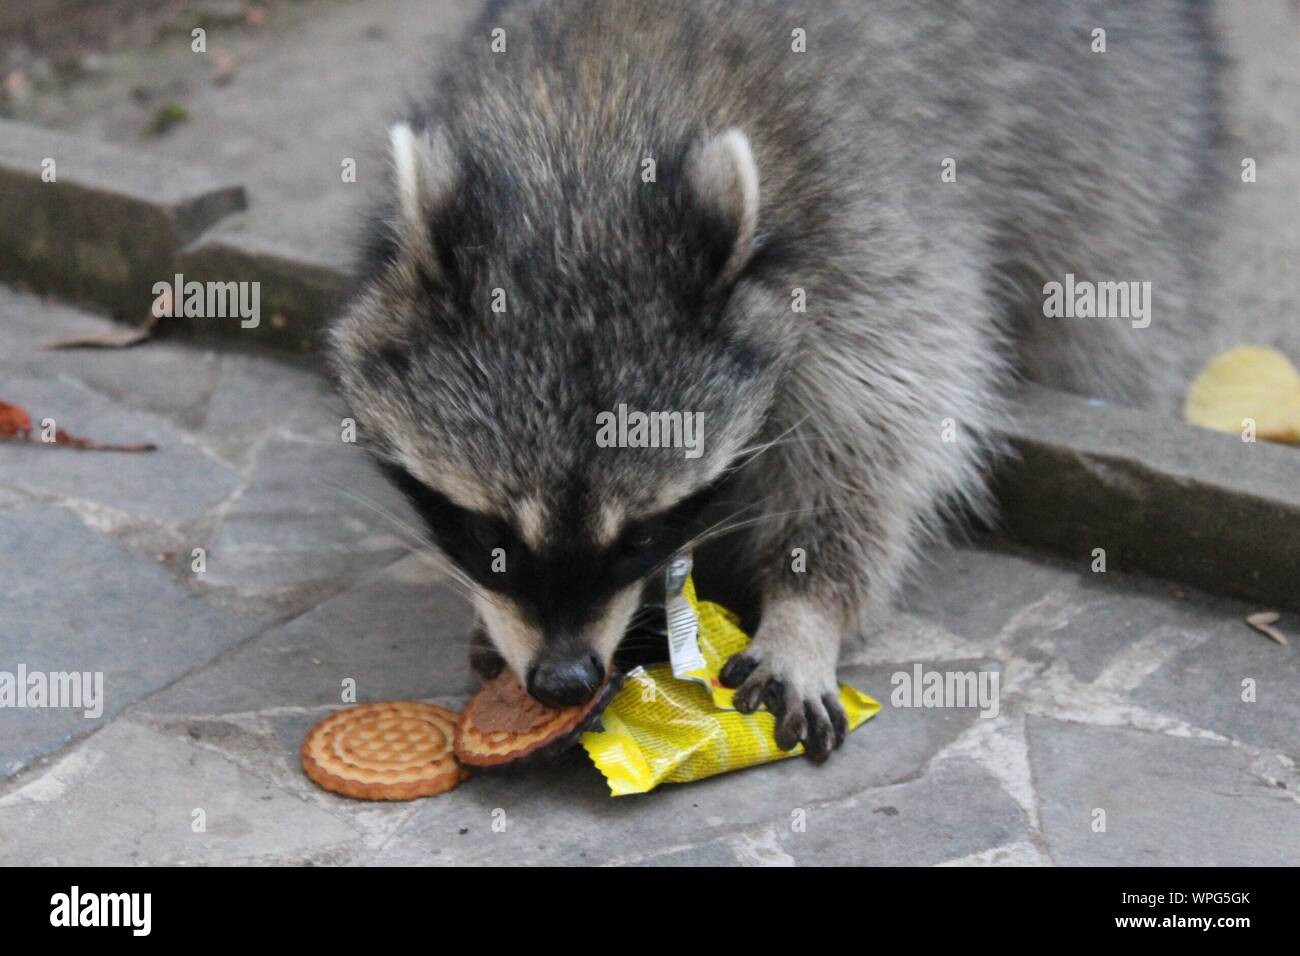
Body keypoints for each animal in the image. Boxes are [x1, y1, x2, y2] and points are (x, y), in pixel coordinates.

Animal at [329, 0, 1222, 760]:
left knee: (1105, 326)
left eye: (644, 535)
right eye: (489, 534)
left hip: (1127, 147)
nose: (564, 681)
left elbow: (884, 430)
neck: (587, 131)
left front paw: (806, 608)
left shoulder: (866, 228)